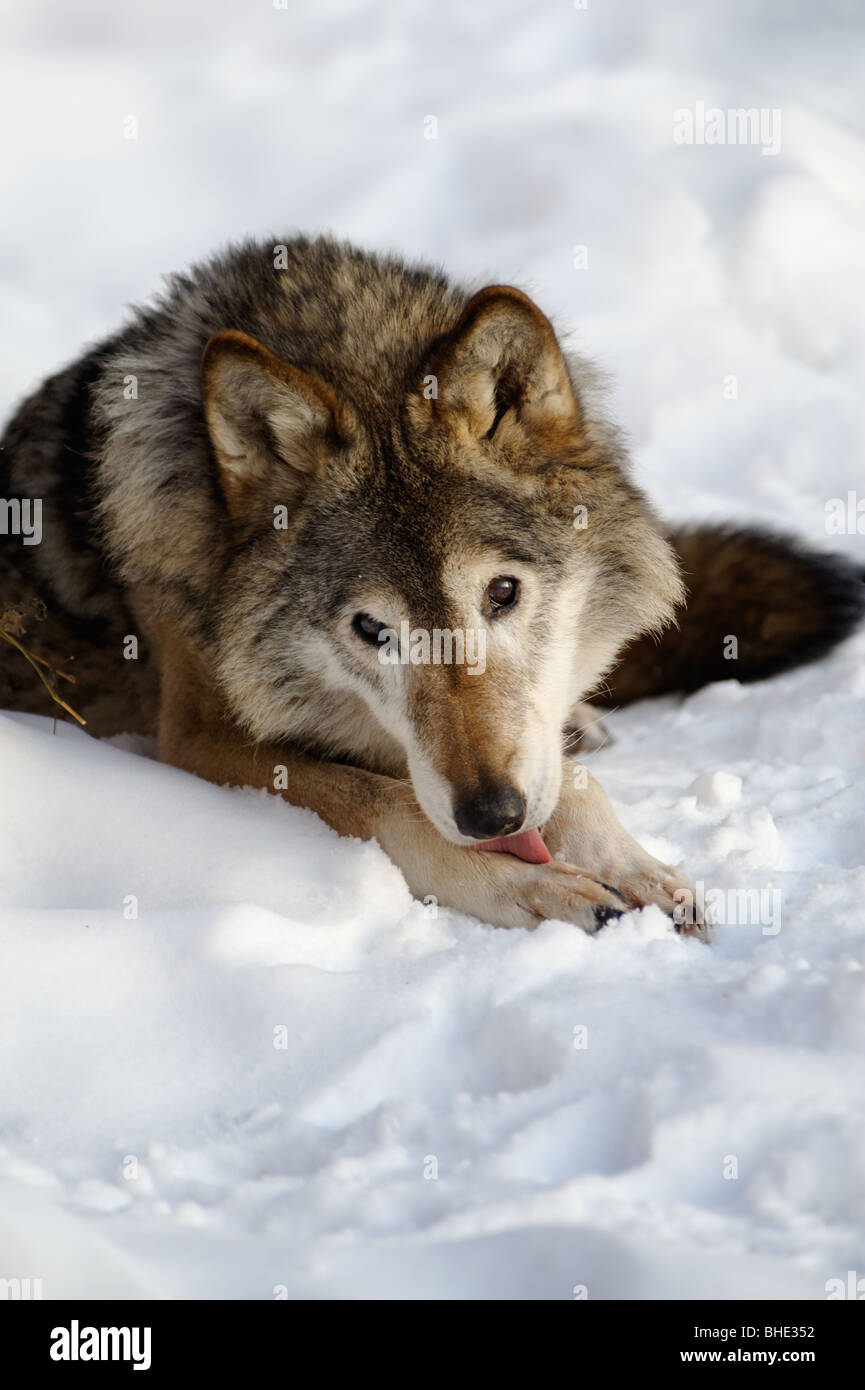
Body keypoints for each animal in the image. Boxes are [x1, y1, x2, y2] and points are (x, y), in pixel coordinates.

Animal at [2, 237, 863, 930]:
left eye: (501, 594)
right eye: (372, 630)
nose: (491, 815)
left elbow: (568, 779)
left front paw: (634, 866)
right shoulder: (198, 739)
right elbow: (386, 804)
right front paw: (532, 888)